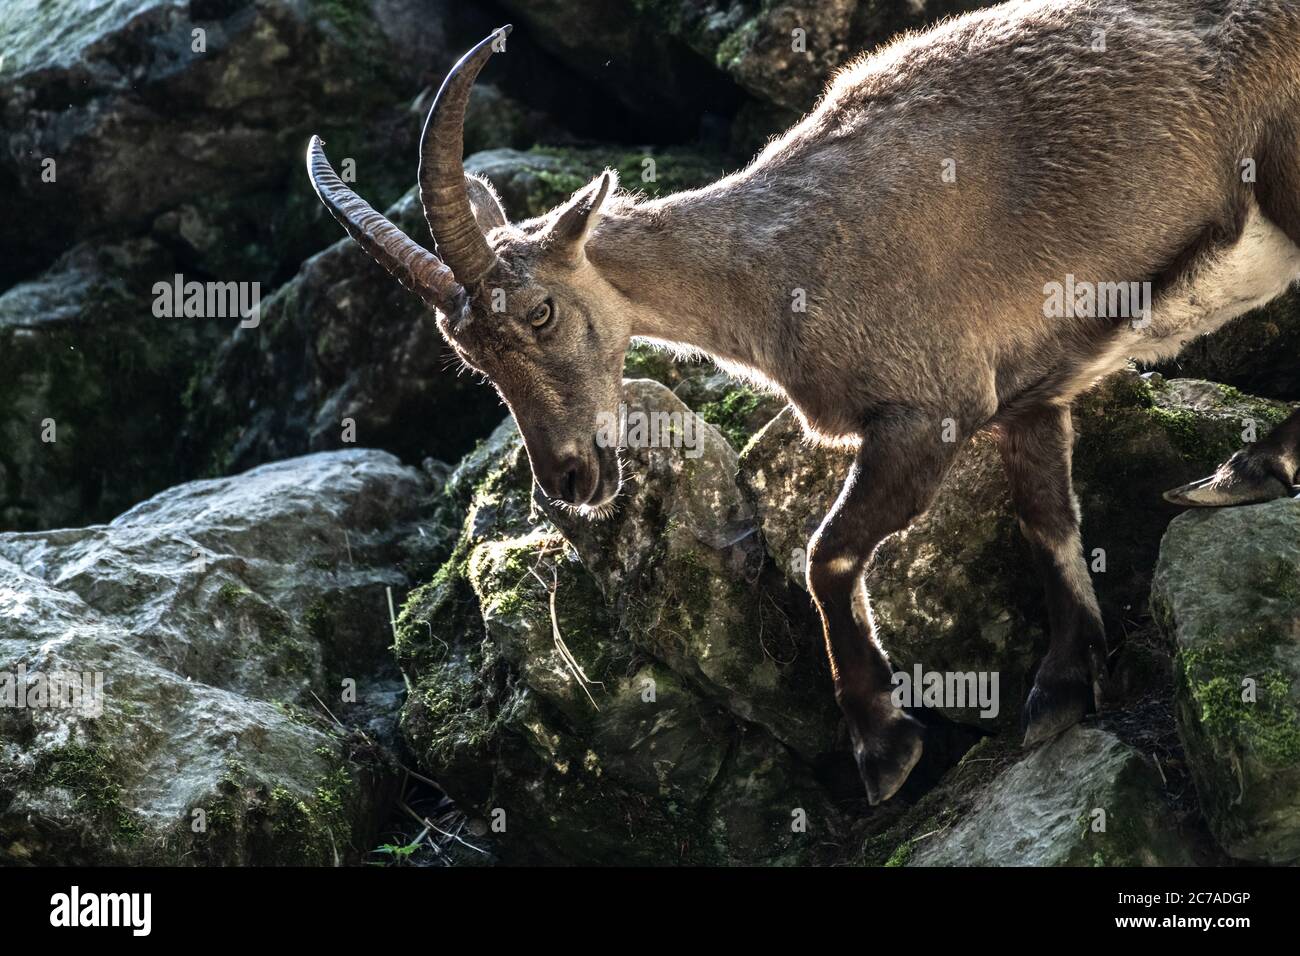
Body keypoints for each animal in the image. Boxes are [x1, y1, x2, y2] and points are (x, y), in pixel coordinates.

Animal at [307, 1, 1300, 803]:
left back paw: (1249, 465)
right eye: (466, 355)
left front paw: (884, 746)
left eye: (541, 309)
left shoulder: (928, 408)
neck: (777, 261)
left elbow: (827, 555)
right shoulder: (1029, 395)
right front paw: (1063, 685)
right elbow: (1049, 523)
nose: (570, 478)